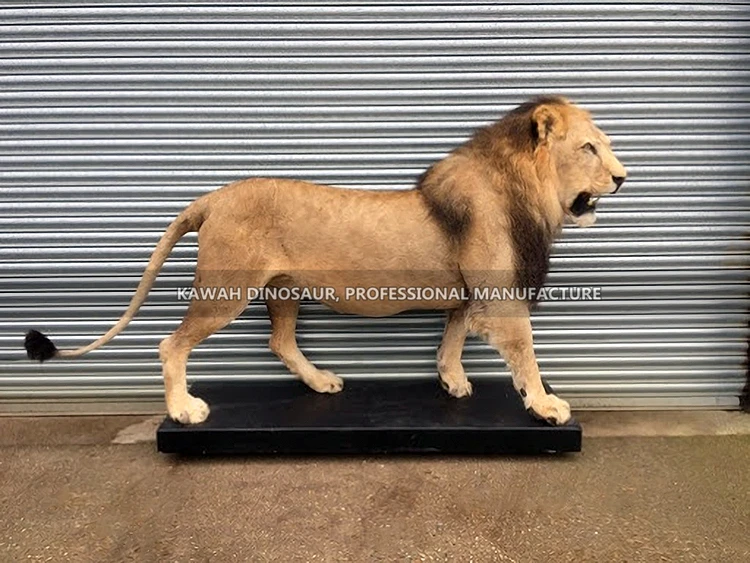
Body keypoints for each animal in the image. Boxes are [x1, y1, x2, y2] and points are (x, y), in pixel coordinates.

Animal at [24, 96, 626, 427]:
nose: (624, 178)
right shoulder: (501, 299)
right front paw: (546, 406)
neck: (524, 188)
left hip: (283, 290)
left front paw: (453, 382)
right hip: (227, 289)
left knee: (280, 343)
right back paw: (183, 410)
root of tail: (213, 198)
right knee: (171, 344)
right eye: (589, 148)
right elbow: (526, 355)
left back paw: (320, 382)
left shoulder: (467, 295)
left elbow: (451, 340)